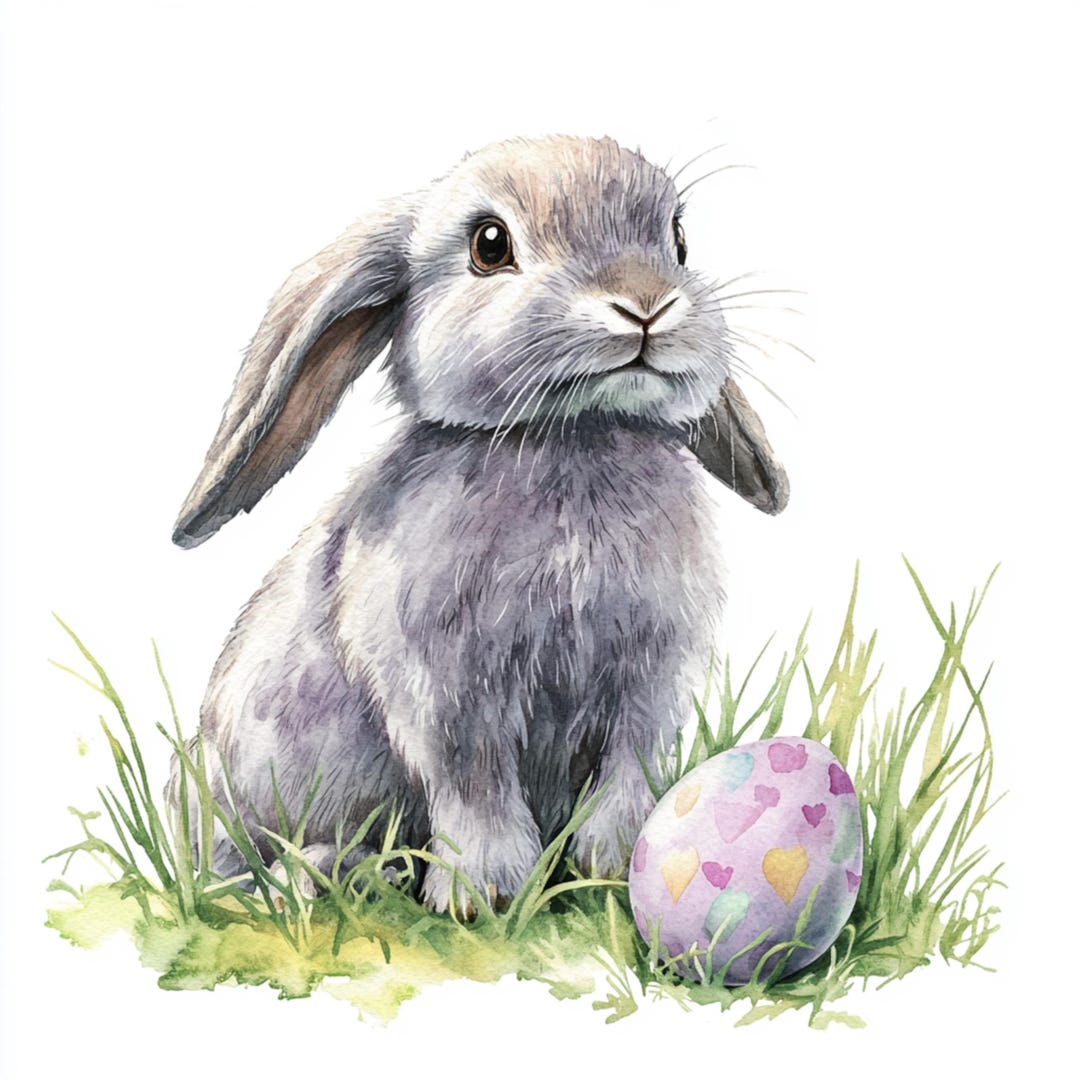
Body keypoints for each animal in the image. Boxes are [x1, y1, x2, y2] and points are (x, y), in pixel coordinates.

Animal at [169, 135, 788, 913]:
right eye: (490, 245)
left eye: (677, 238)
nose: (646, 303)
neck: (572, 438)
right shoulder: (448, 692)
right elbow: (475, 779)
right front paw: (482, 897)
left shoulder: (649, 683)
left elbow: (628, 771)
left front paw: (615, 869)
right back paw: (344, 876)